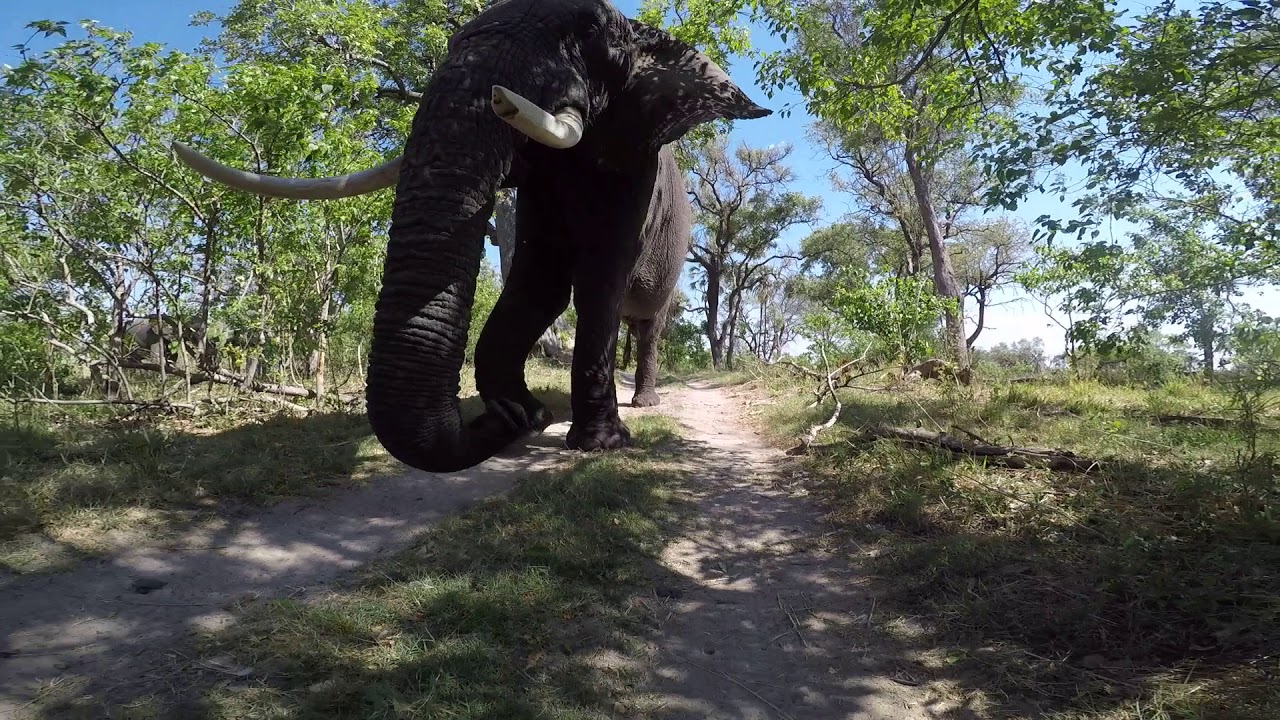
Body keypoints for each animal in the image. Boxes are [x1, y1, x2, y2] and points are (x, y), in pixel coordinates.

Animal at [168, 0, 771, 473]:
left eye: (583, 38)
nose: (512, 419)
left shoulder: (633, 163)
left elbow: (599, 278)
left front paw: (599, 446)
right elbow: (539, 282)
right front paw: (525, 414)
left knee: (648, 323)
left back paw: (644, 404)